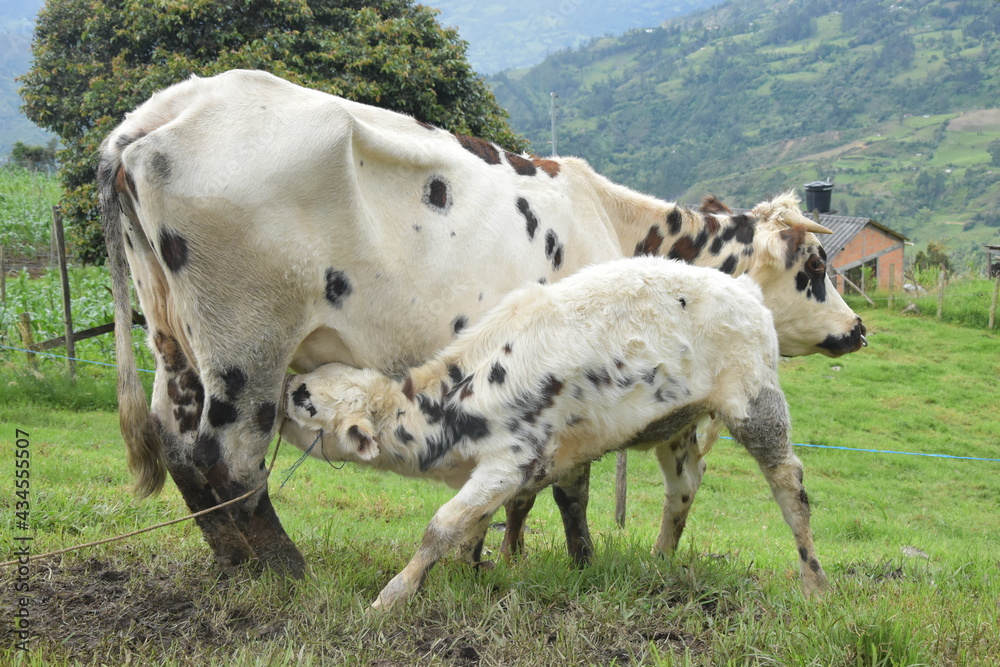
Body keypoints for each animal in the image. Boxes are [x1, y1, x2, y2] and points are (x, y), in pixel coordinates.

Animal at [279, 256, 827, 609]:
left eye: (304, 398)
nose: (279, 386)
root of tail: (746, 289)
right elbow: (480, 523)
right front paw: (473, 572)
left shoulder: (511, 460)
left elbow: (444, 525)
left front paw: (392, 596)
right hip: (676, 423)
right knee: (684, 486)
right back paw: (661, 559)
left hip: (755, 401)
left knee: (791, 486)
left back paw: (814, 584)